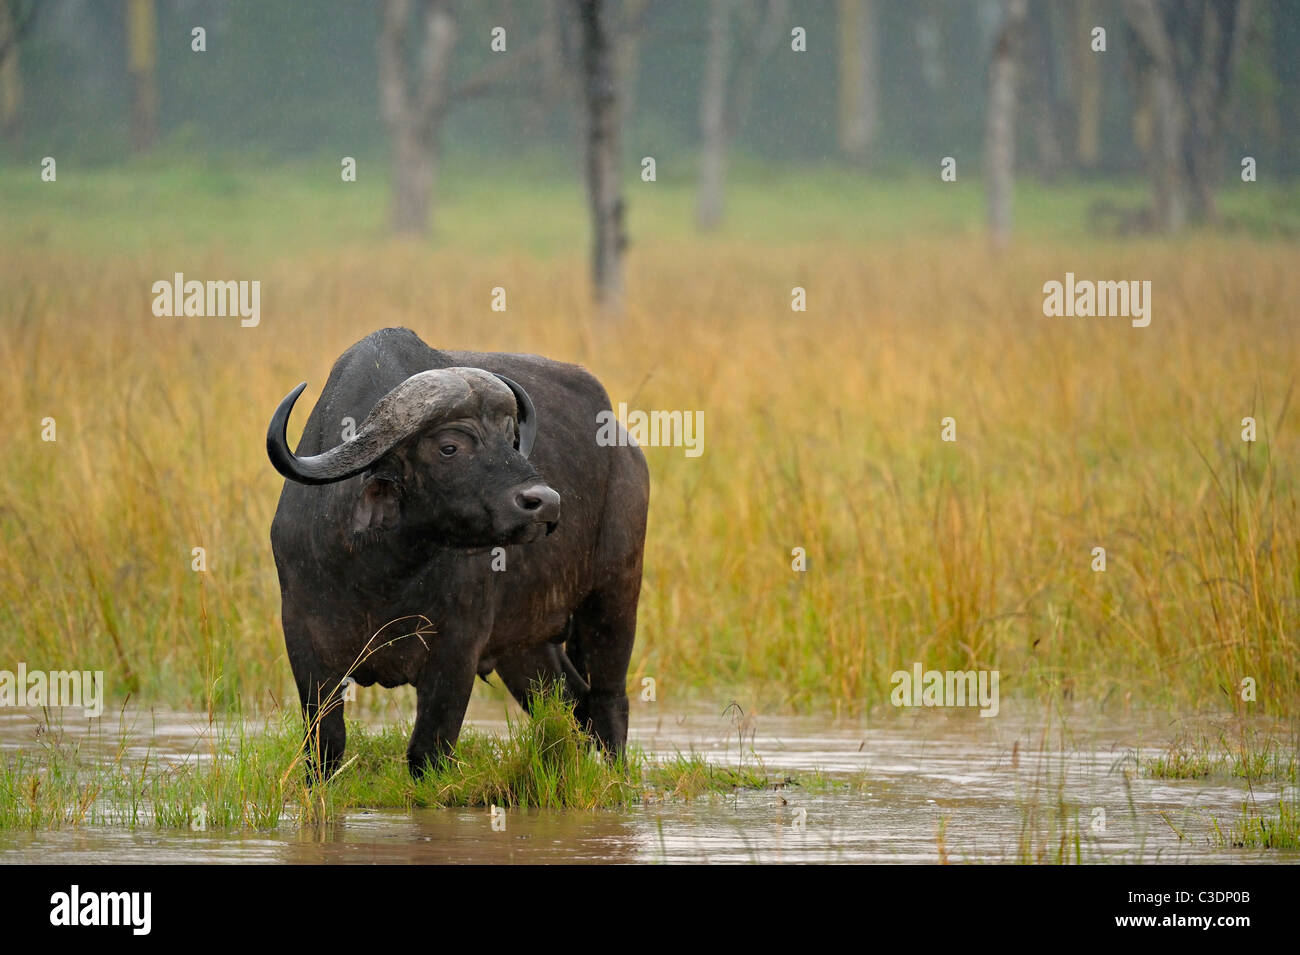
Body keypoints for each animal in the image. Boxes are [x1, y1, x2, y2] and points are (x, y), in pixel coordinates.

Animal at [267, 327, 649, 780]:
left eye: (510, 438)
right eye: (449, 447)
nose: (546, 502)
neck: (382, 574)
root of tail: (624, 448)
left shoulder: (457, 649)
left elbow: (428, 752)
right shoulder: (305, 642)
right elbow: (325, 745)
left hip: (614, 597)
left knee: (609, 701)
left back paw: (618, 780)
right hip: (526, 645)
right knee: (566, 702)